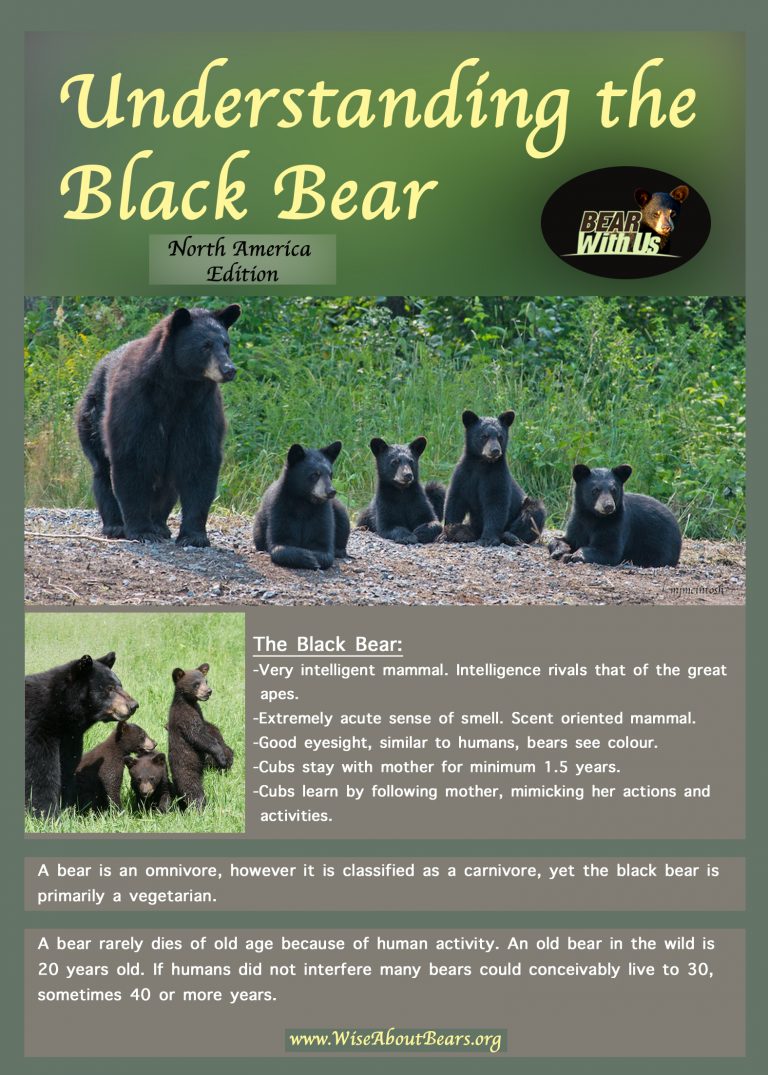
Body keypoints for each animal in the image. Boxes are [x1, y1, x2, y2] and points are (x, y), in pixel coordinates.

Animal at [25, 652, 138, 817]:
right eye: (109, 688)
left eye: (120, 685)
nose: (134, 705)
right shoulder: (37, 728)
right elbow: (39, 770)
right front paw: (46, 813)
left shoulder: (69, 738)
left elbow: (67, 766)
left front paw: (66, 809)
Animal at [76, 304, 241, 547]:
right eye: (206, 345)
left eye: (226, 343)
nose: (229, 369)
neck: (178, 388)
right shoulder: (138, 404)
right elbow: (131, 458)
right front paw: (142, 531)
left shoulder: (200, 410)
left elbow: (200, 461)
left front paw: (194, 535)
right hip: (92, 416)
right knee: (102, 471)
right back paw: (115, 525)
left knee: (167, 483)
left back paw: (160, 525)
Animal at [167, 664, 233, 809]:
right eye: (196, 684)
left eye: (206, 681)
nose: (209, 691)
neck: (188, 702)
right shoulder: (185, 718)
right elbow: (198, 736)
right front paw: (221, 757)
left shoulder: (199, 714)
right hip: (186, 767)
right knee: (192, 788)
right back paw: (199, 806)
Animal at [443, 410, 546, 547]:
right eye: (484, 436)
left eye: (500, 436)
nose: (495, 450)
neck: (481, 463)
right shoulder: (463, 473)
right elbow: (455, 500)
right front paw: (447, 531)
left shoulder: (497, 475)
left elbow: (496, 503)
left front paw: (488, 539)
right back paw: (461, 532)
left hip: (525, 506)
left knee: (533, 514)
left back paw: (511, 536)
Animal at [548, 464, 682, 567]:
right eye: (595, 490)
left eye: (614, 490)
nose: (608, 506)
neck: (593, 517)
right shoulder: (577, 521)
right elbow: (566, 539)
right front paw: (560, 550)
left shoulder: (616, 523)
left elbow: (609, 551)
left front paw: (574, 555)